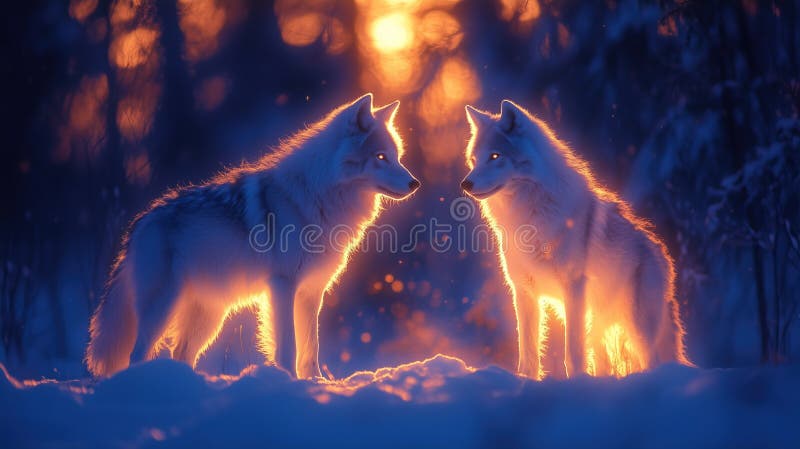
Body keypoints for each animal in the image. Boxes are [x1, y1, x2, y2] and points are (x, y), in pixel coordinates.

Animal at [86, 93, 419, 378]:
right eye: (380, 157)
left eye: (397, 156)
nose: (414, 183)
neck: (317, 196)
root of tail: (140, 222)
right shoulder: (282, 286)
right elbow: (288, 347)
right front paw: (289, 382)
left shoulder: (312, 292)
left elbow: (311, 349)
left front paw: (317, 383)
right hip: (164, 306)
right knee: (138, 354)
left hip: (210, 315)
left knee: (179, 353)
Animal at [461, 100, 690, 379]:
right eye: (474, 160)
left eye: (494, 156)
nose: (465, 184)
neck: (529, 215)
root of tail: (661, 252)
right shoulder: (524, 291)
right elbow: (528, 354)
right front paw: (526, 379)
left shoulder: (574, 290)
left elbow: (572, 353)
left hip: (636, 327)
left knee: (653, 360)